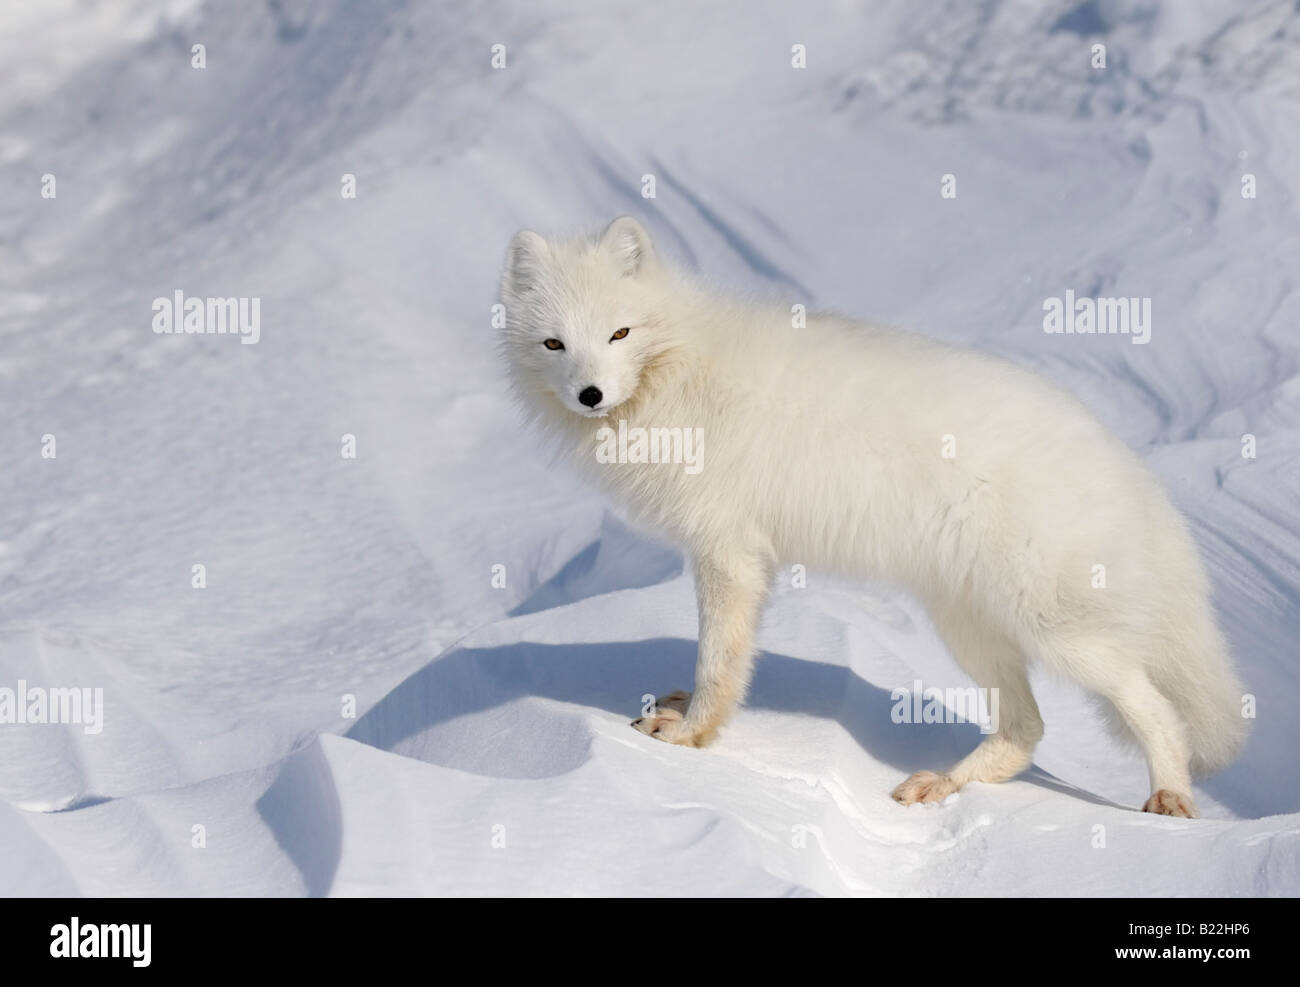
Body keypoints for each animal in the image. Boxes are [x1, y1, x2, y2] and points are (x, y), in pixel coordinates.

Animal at [498, 216, 1249, 818]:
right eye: (554, 344)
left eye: (620, 332)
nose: (590, 395)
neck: (680, 373)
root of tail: (1131, 471)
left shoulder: (729, 550)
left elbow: (720, 660)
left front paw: (692, 736)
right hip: (970, 628)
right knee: (1027, 730)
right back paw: (944, 784)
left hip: (1054, 630)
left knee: (1153, 709)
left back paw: (1170, 798)